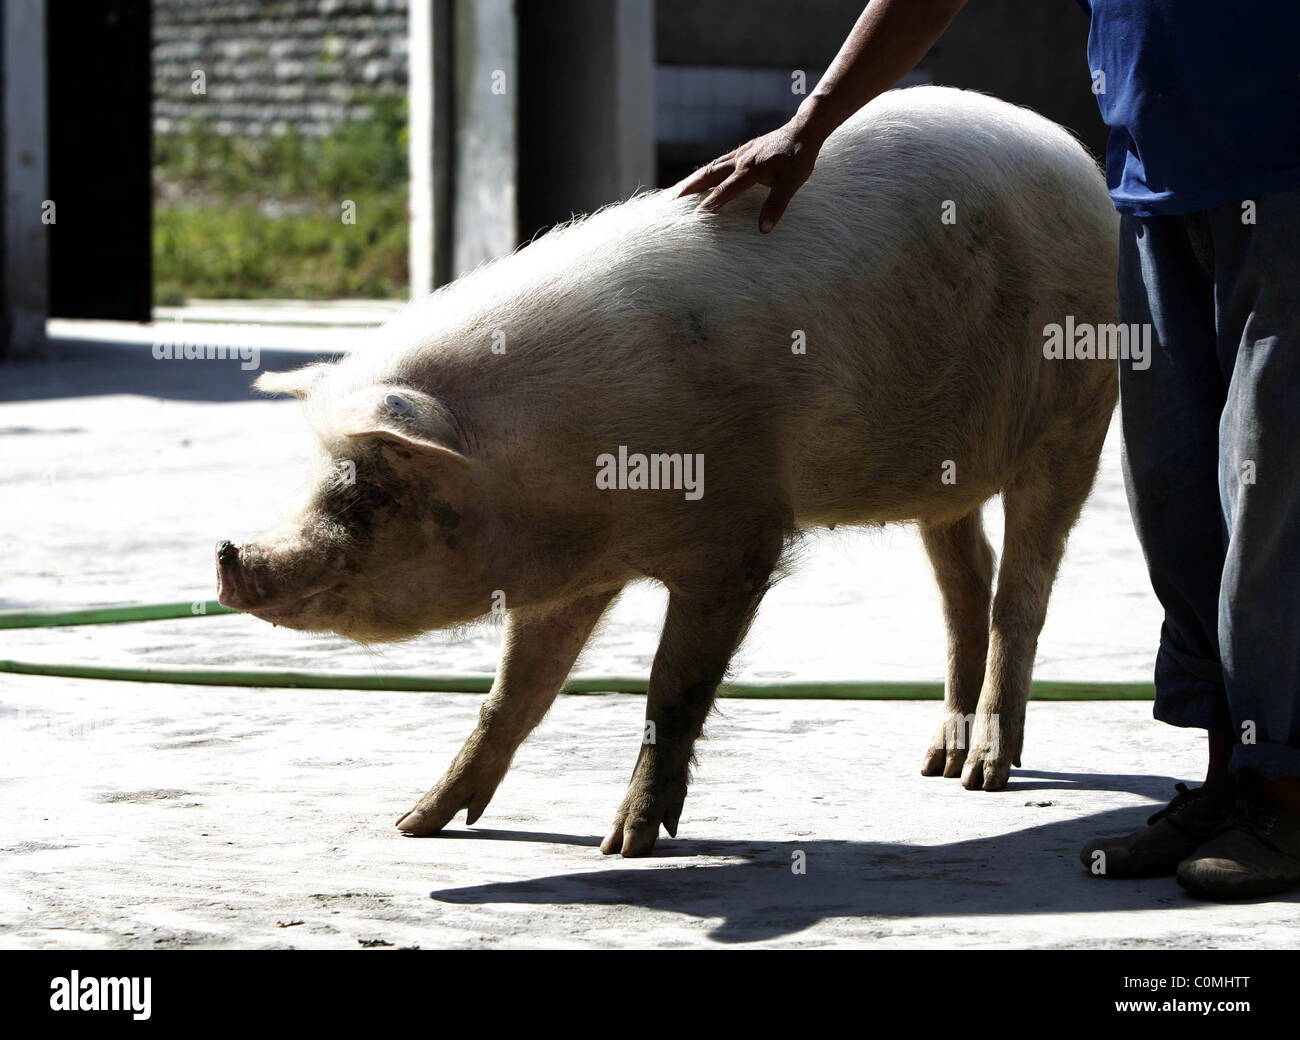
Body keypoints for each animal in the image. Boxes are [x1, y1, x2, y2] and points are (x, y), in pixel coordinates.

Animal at [217, 86, 1119, 857]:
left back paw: (986, 775)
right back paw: (937, 759)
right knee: (967, 584)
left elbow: (671, 694)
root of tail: (1075, 159)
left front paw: (624, 846)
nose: (230, 556)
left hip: (1078, 416)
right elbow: (514, 695)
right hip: (944, 474)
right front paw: (415, 824)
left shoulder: (738, 541)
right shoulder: (569, 577)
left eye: (370, 494)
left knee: (1021, 593)